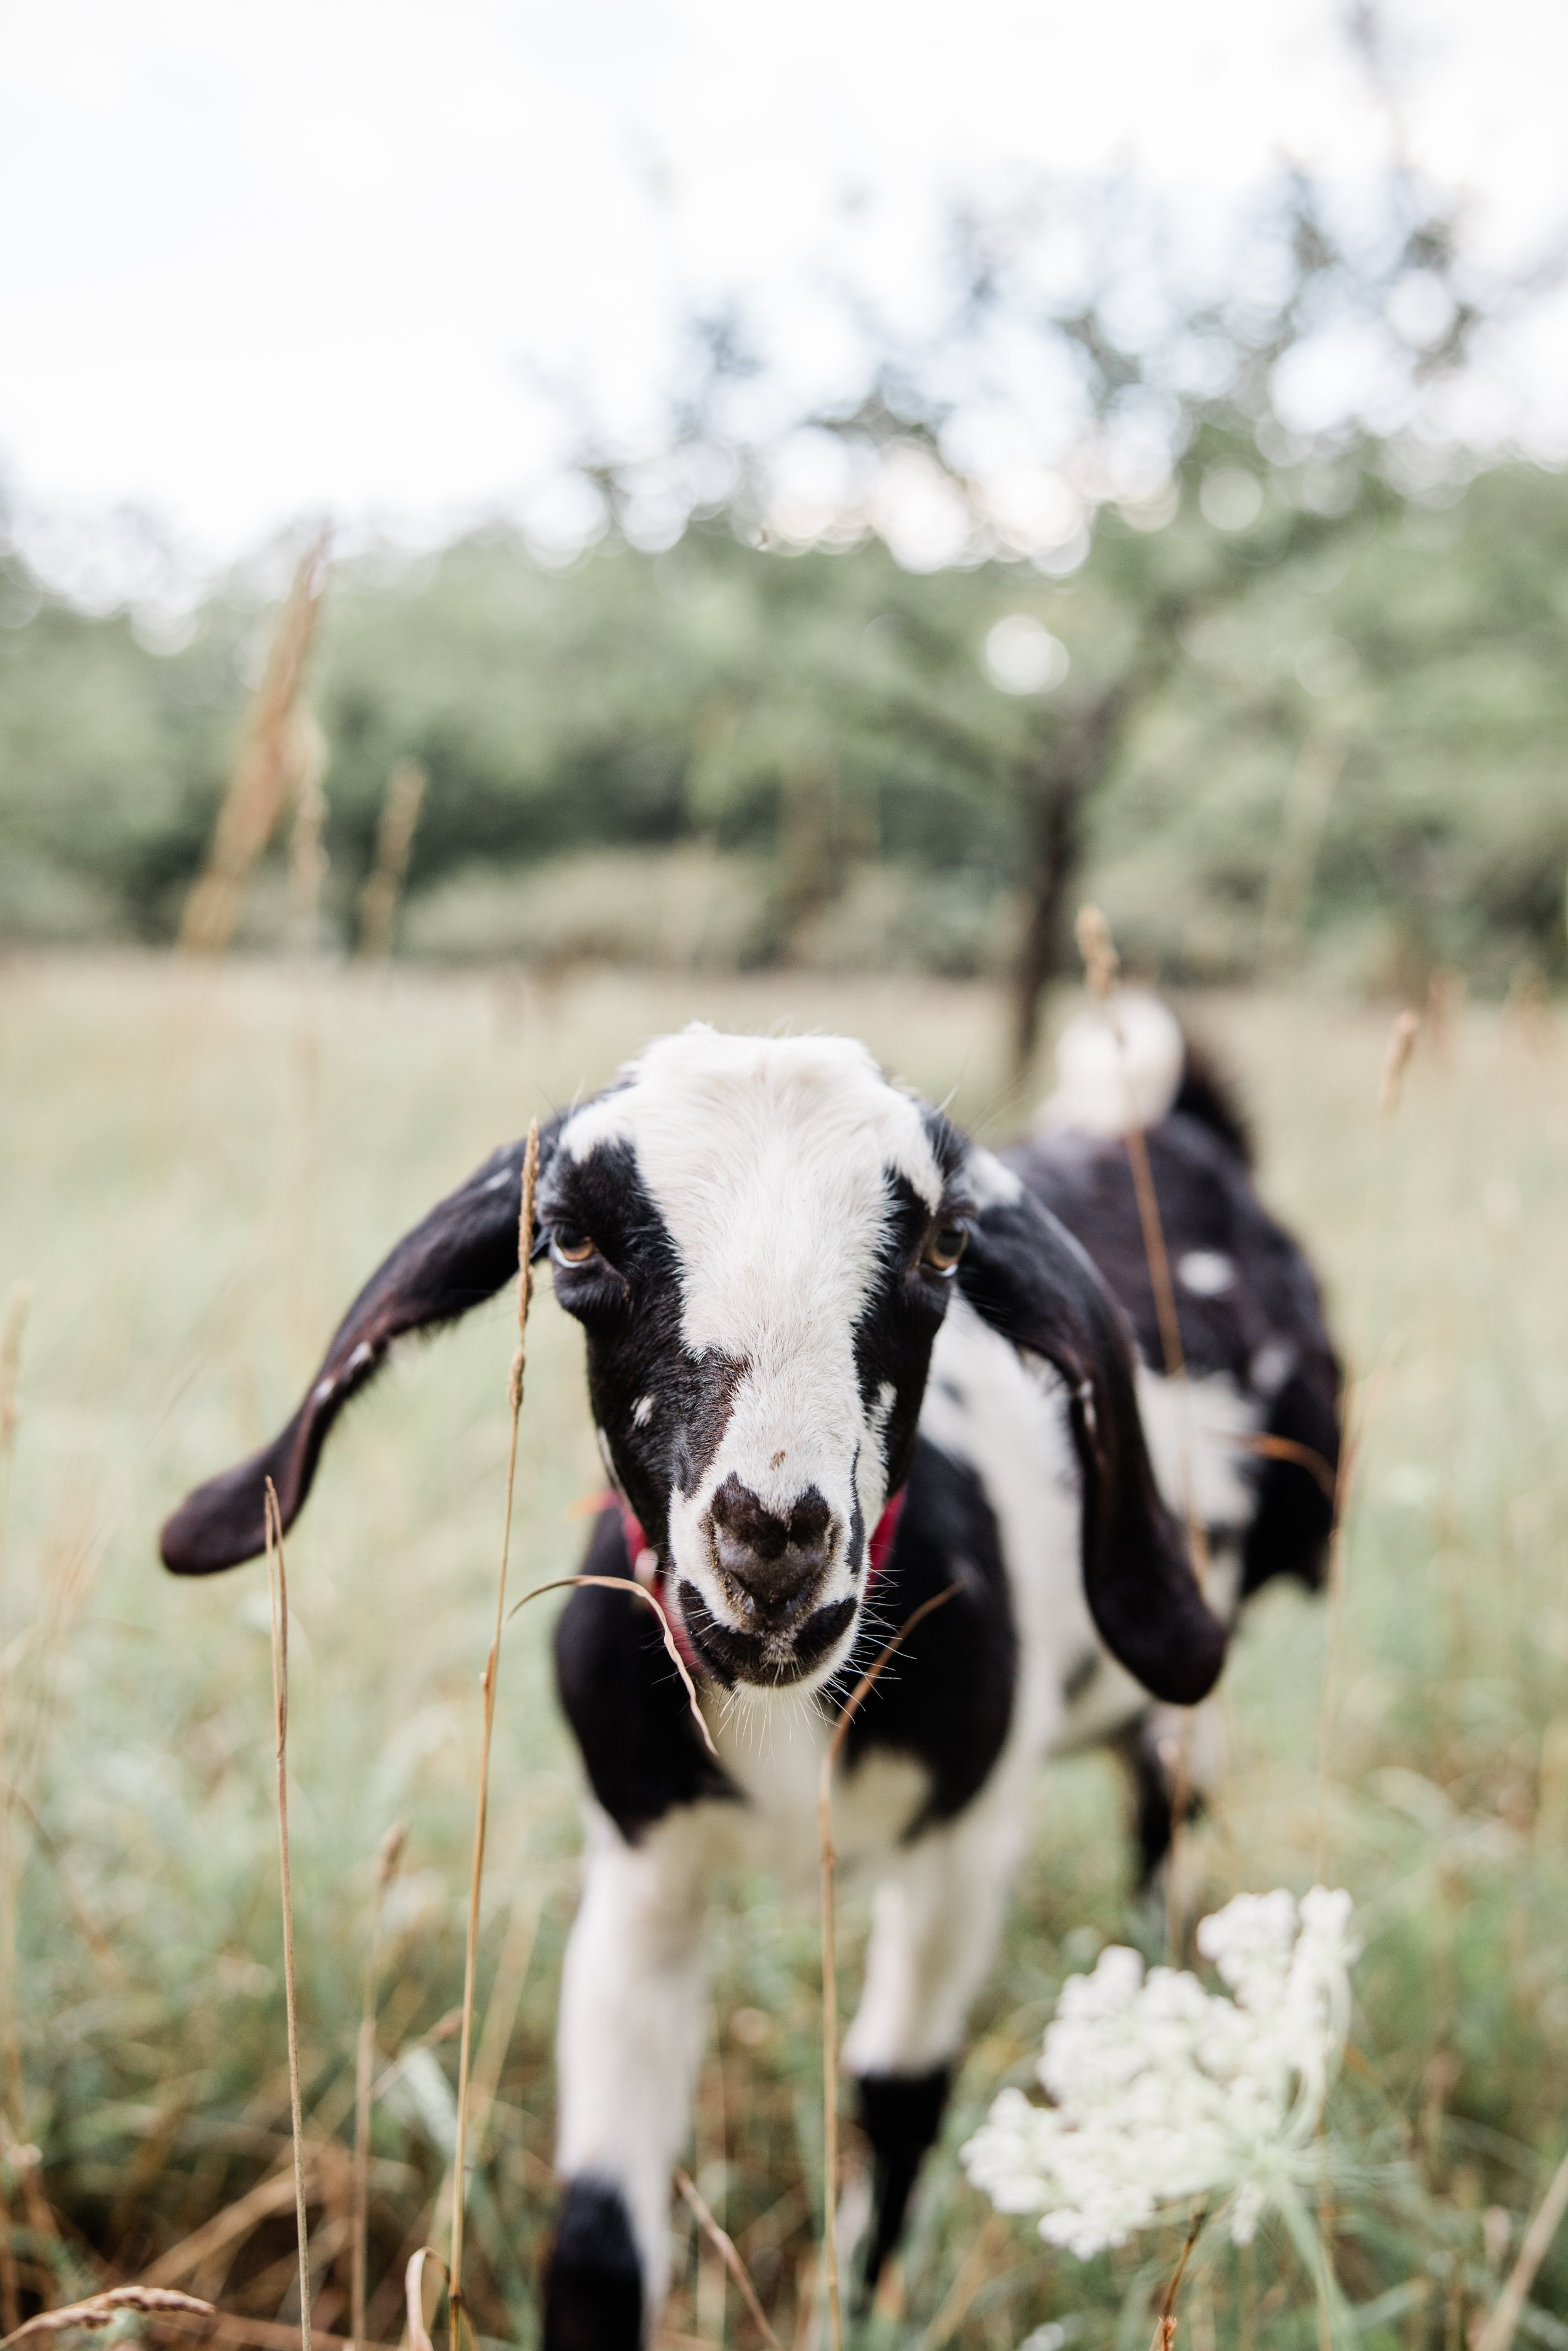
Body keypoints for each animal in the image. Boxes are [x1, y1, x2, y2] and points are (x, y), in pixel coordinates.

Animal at [160, 1009, 1337, 2348]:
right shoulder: (641, 1862)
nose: (772, 1537)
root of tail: (1161, 1118)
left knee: (1166, 1805)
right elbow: (601, 2232)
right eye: (572, 1237)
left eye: (946, 1241)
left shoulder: (964, 1844)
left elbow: (896, 2096)